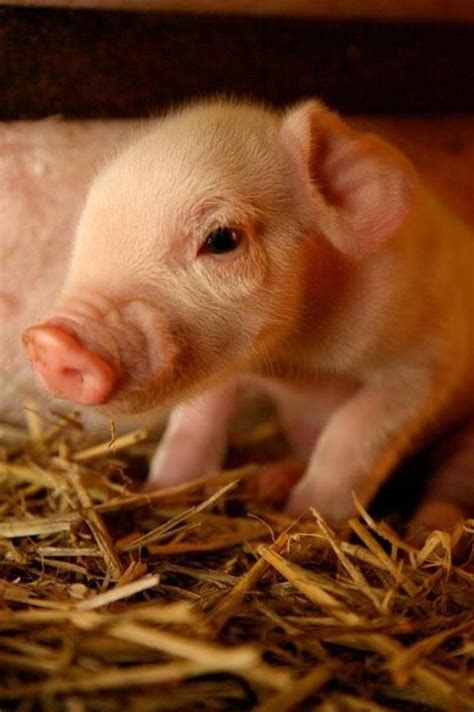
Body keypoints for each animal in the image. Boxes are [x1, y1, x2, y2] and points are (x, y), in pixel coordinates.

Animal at [17, 98, 474, 528]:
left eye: (222, 239)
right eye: (85, 232)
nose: (51, 341)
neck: (299, 362)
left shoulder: (425, 361)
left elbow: (353, 431)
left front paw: (307, 518)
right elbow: (195, 422)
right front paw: (161, 490)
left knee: (452, 484)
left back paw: (425, 528)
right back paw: (267, 484)